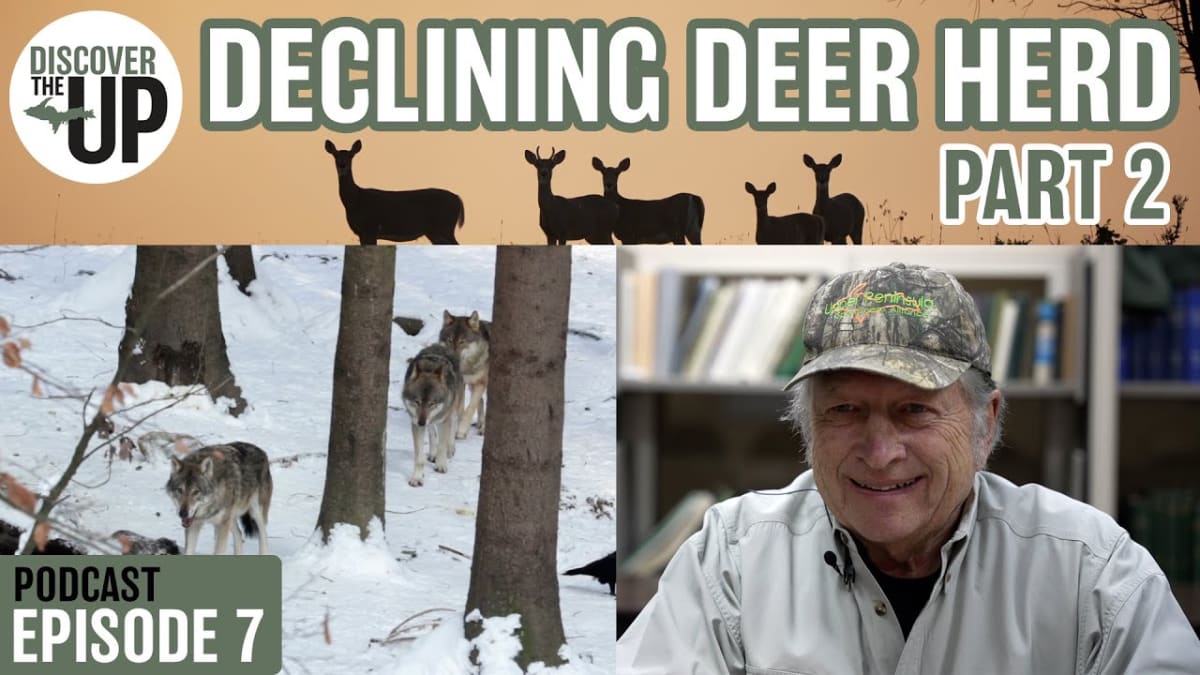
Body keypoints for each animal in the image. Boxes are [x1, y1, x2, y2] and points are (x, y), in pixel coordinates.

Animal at [324, 139, 465, 245]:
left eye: (351, 156)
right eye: (335, 156)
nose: (342, 165)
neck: (355, 200)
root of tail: (458, 199)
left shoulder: (370, 229)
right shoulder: (363, 233)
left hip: (445, 226)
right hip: (434, 232)